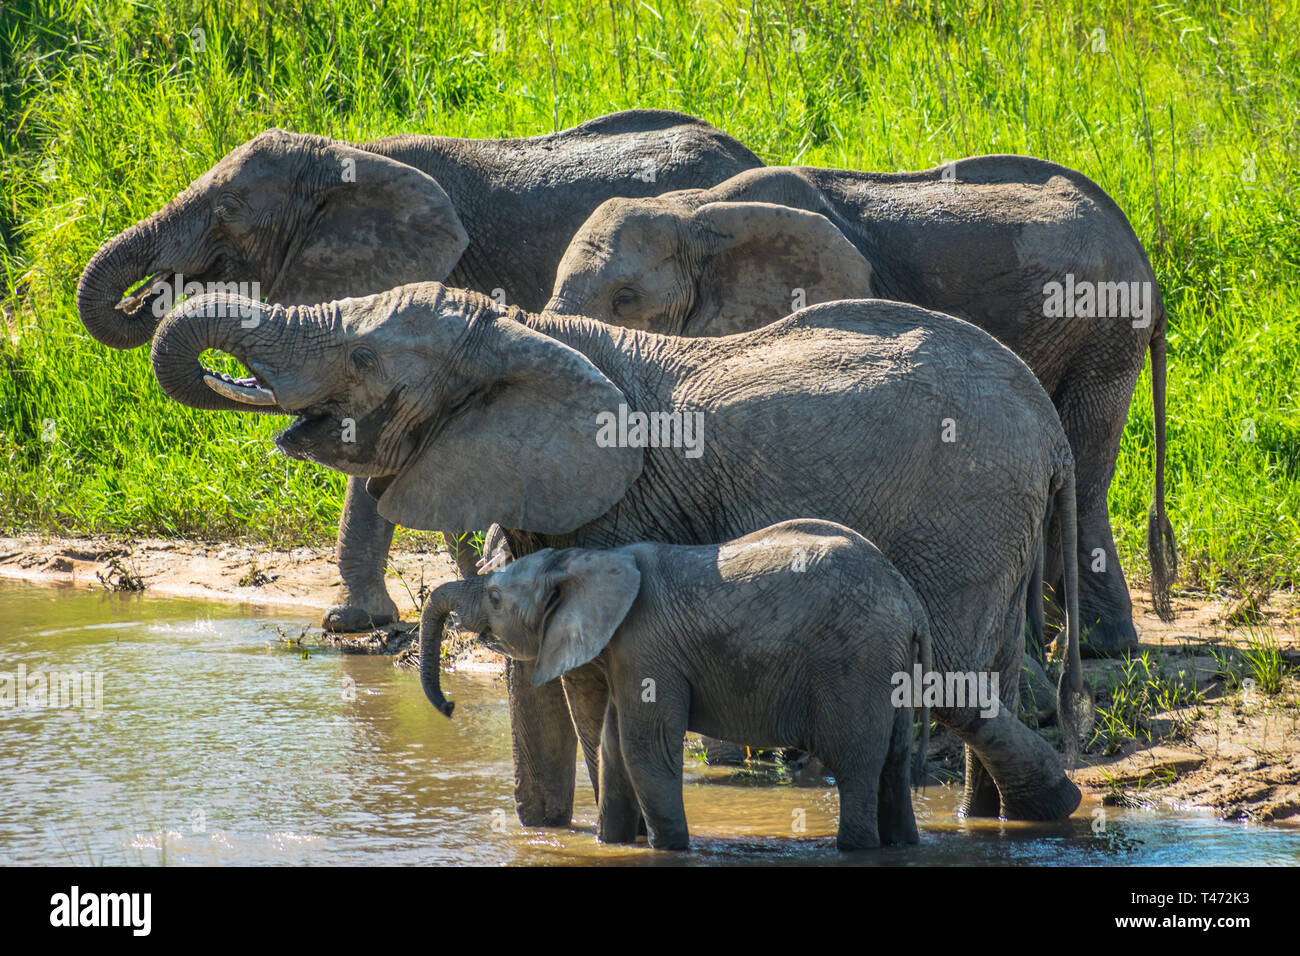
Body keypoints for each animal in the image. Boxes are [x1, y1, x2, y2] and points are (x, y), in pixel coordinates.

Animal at [417, 519, 932, 851]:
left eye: (495, 596)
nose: (449, 707)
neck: (588, 561)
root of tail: (910, 601)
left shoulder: (647, 646)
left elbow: (645, 748)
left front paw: (669, 848)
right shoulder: (625, 651)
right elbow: (614, 746)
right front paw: (609, 844)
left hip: (855, 662)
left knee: (856, 765)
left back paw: (855, 847)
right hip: (889, 666)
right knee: (894, 763)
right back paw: (902, 844)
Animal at [544, 158, 1176, 655]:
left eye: (625, 298)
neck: (693, 213)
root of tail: (1141, 254)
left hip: (1104, 325)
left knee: (1087, 465)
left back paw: (1098, 646)